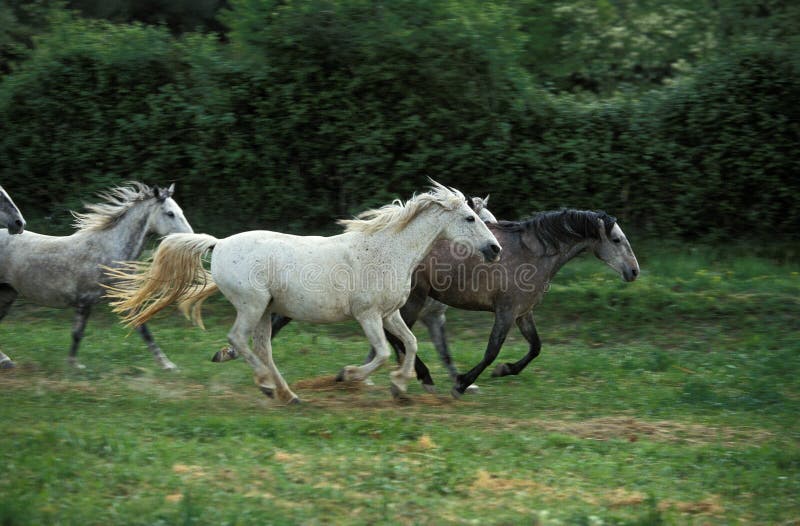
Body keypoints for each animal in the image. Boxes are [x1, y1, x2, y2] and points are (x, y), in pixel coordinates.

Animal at [0, 183, 193, 370]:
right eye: (170, 213)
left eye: (181, 211)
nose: (190, 240)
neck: (107, 251)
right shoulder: (85, 300)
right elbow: (77, 333)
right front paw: (74, 365)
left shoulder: (121, 298)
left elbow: (142, 328)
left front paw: (167, 364)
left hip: (8, 293)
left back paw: (6, 361)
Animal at [105, 182, 502, 404]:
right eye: (470, 218)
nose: (495, 249)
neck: (387, 250)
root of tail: (218, 244)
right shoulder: (368, 315)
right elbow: (384, 352)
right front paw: (349, 376)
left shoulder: (389, 314)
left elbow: (411, 344)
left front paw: (400, 387)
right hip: (252, 305)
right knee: (239, 340)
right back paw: (266, 386)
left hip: (266, 310)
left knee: (262, 347)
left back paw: (288, 395)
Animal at [383, 209, 640, 397]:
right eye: (617, 239)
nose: (634, 271)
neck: (533, 255)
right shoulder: (506, 312)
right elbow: (491, 351)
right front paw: (462, 384)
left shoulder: (523, 313)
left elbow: (536, 347)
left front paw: (504, 370)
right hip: (413, 301)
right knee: (399, 338)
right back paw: (420, 378)